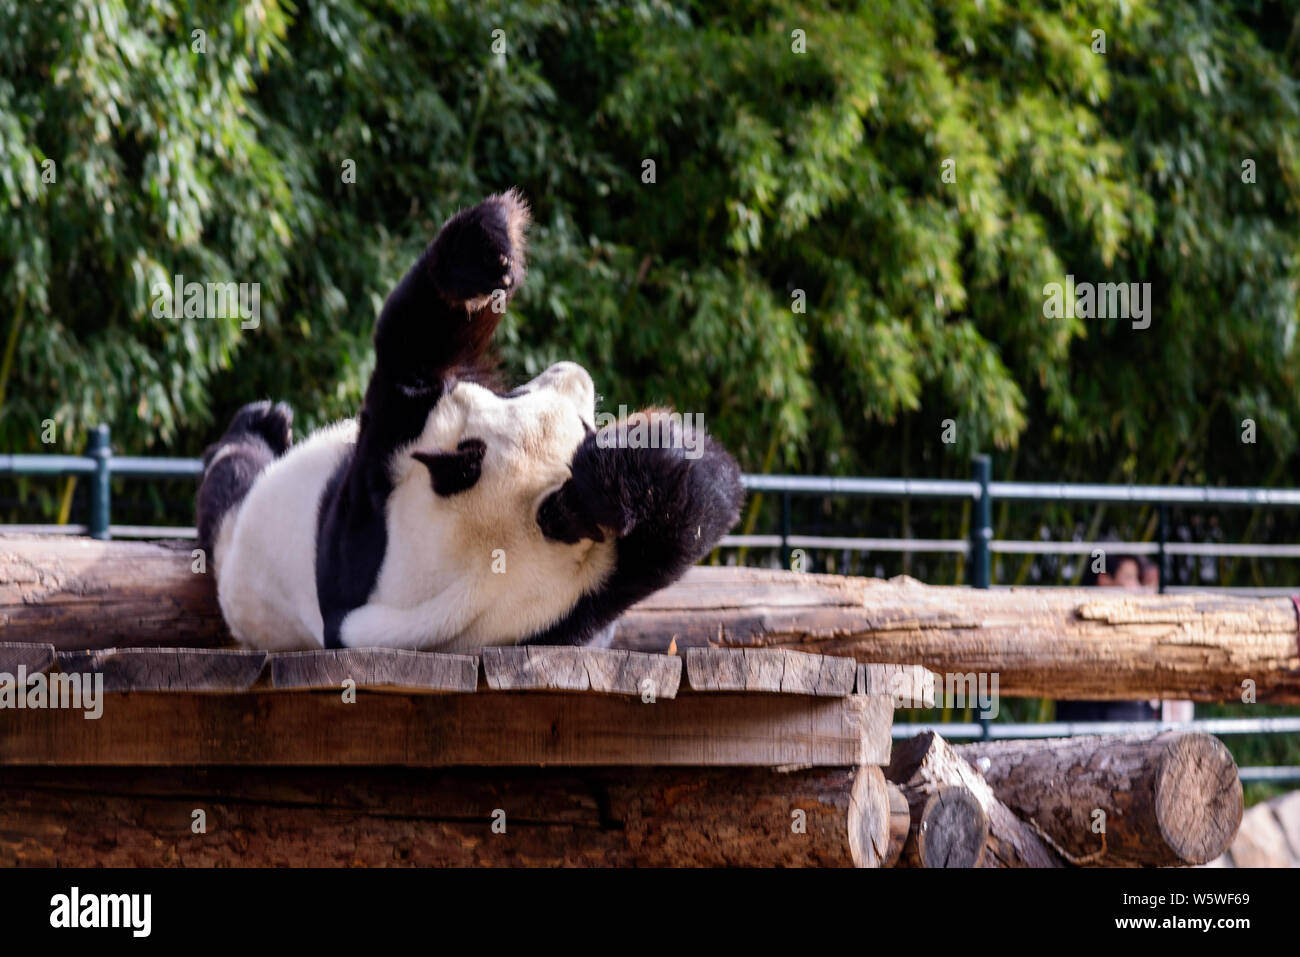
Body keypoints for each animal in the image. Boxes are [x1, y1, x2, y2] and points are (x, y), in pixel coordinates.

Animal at [196, 190, 745, 652]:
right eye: (518, 390)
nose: (575, 372)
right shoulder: (372, 505)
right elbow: (410, 343)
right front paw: (487, 254)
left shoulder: (578, 606)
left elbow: (692, 515)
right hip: (241, 533)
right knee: (230, 479)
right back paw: (262, 424)